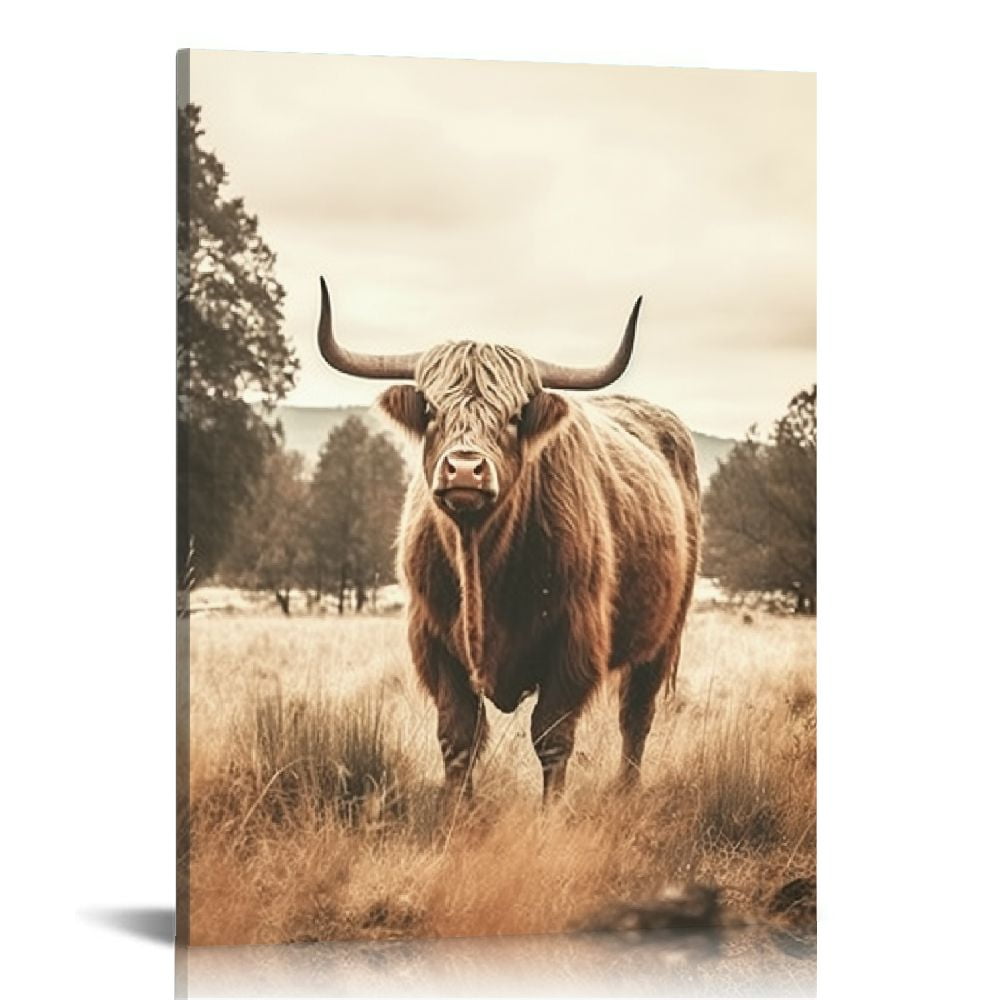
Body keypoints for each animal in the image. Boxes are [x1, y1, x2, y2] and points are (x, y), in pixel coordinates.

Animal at [316, 278, 701, 802]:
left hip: (663, 633)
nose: (464, 470)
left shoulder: (574, 640)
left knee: (636, 715)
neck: (481, 556)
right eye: (431, 409)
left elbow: (552, 736)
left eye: (515, 415)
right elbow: (458, 735)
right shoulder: (434, 641)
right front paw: (458, 809)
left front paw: (551, 813)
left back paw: (626, 789)